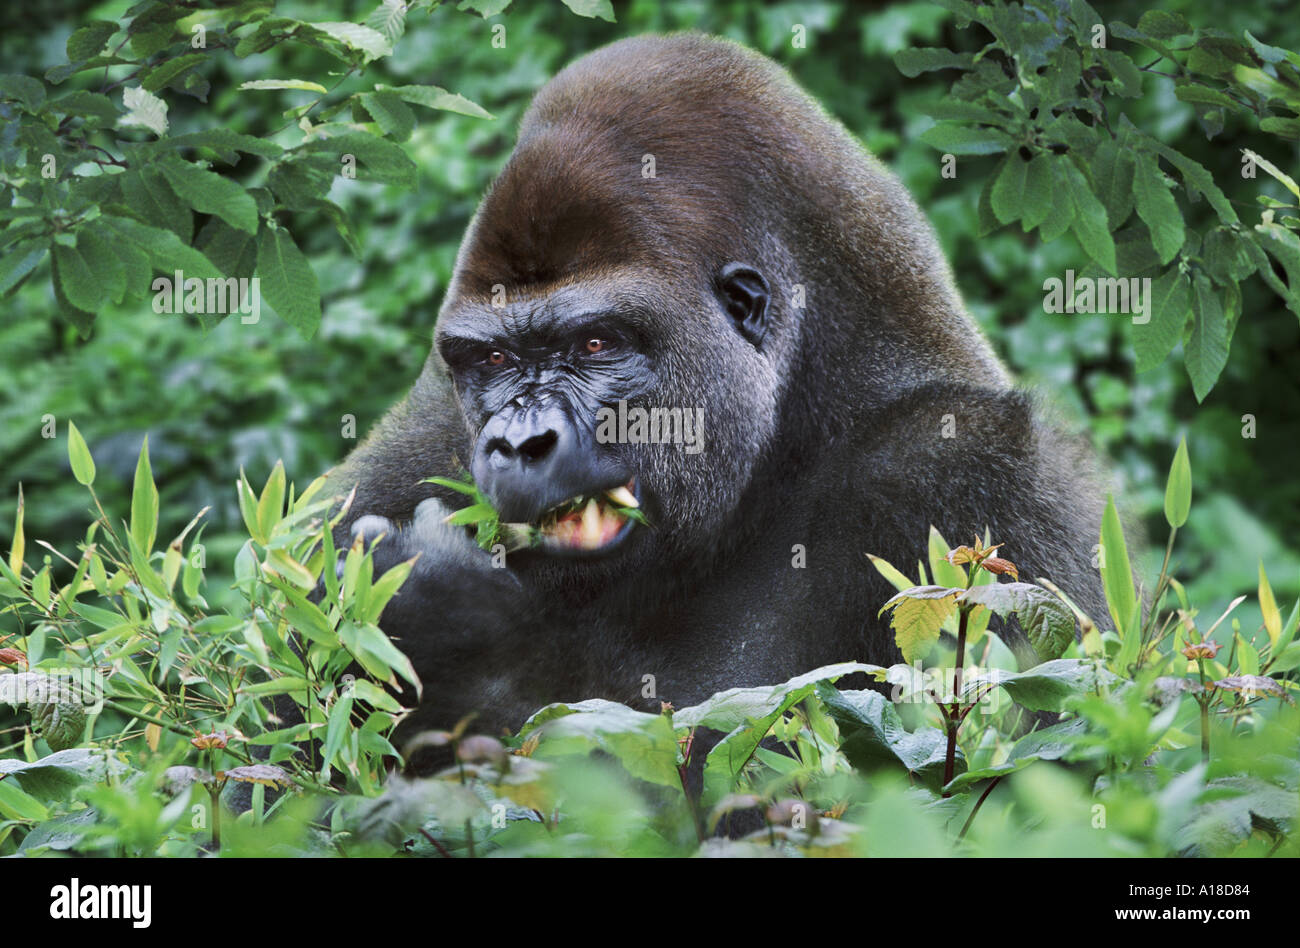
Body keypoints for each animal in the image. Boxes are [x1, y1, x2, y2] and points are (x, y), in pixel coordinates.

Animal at [324, 33, 1109, 765]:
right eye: (493, 358)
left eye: (596, 345)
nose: (519, 442)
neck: (801, 429)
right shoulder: (421, 446)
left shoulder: (971, 474)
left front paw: (453, 627)